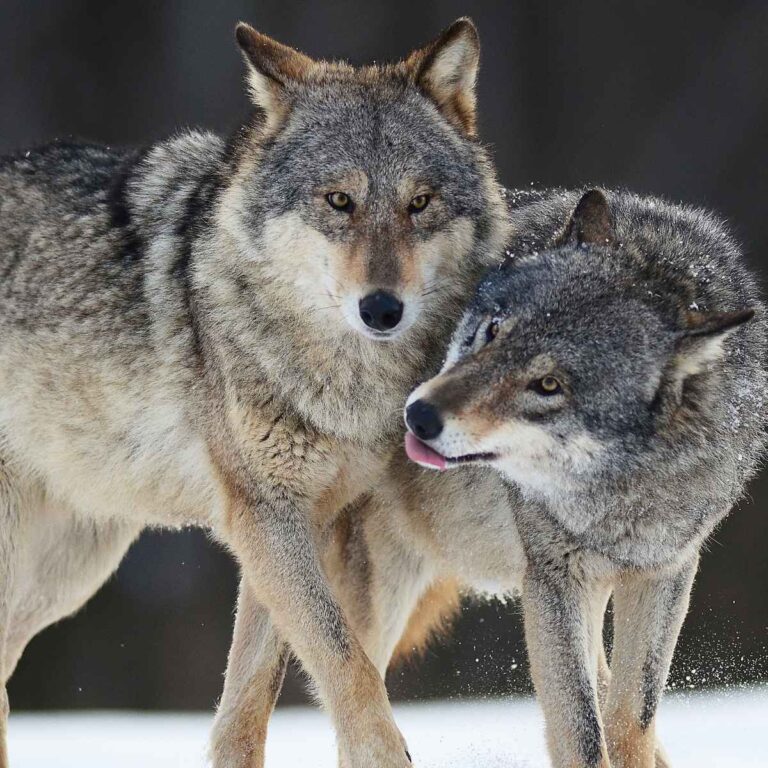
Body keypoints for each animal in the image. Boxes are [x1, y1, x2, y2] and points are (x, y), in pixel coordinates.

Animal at [0, 18, 509, 767]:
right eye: (339, 201)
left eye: (419, 204)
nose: (383, 309)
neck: (339, 379)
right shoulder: (264, 516)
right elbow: (348, 666)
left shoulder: (300, 521)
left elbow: (246, 705)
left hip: (71, 567)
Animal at [394, 187, 767, 767]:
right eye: (494, 331)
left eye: (548, 385)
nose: (419, 415)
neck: (626, 492)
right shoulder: (555, 577)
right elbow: (582, 731)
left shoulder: (665, 571)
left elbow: (632, 715)